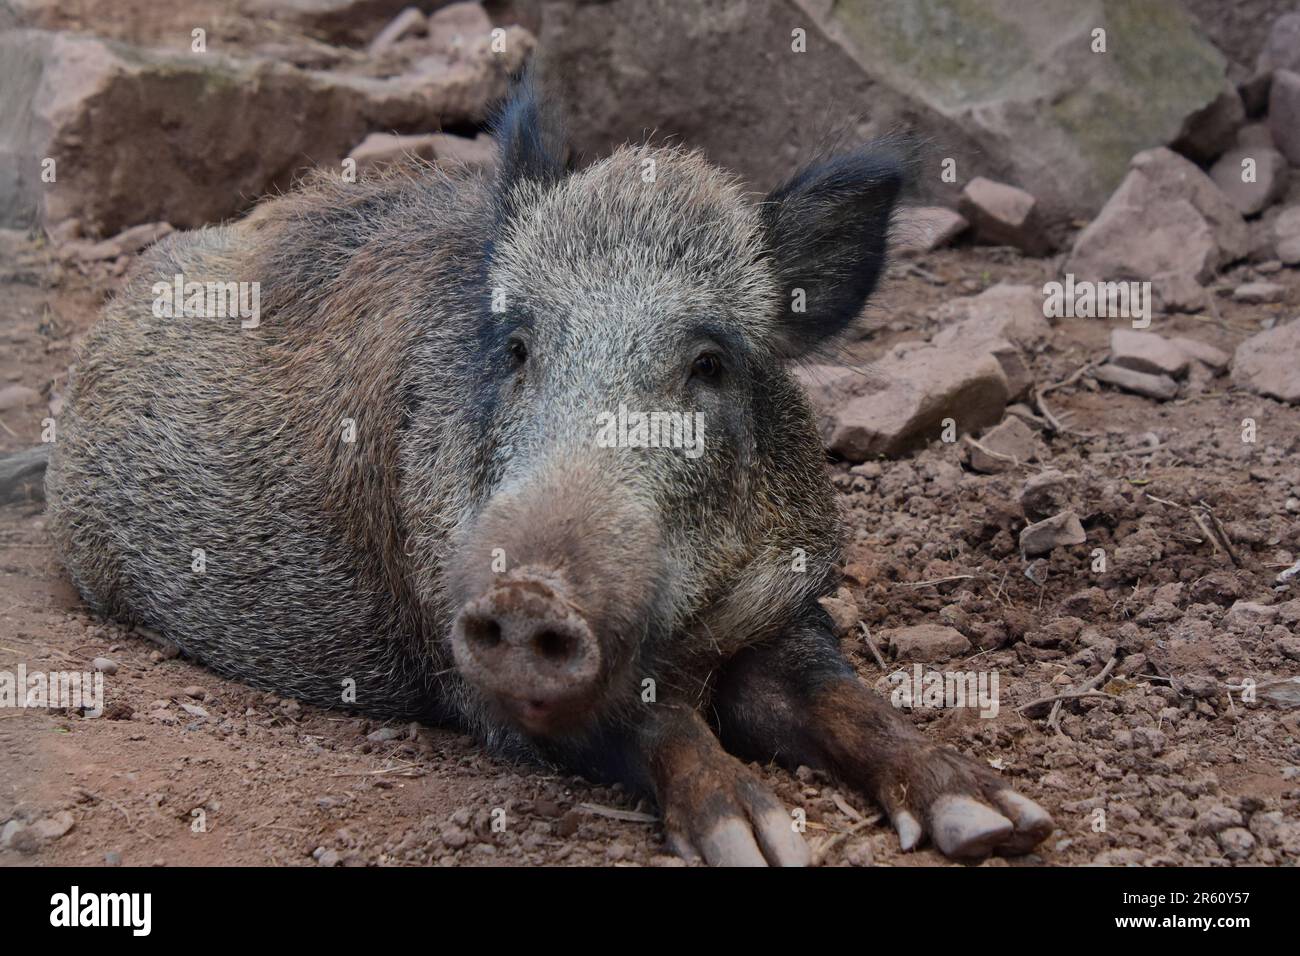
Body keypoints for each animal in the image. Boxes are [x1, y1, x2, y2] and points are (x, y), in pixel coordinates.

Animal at [44, 78, 1054, 865]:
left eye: (711, 363)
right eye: (519, 348)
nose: (528, 592)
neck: (679, 635)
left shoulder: (787, 604)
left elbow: (849, 699)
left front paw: (1000, 823)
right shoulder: (465, 665)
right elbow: (655, 724)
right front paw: (759, 841)